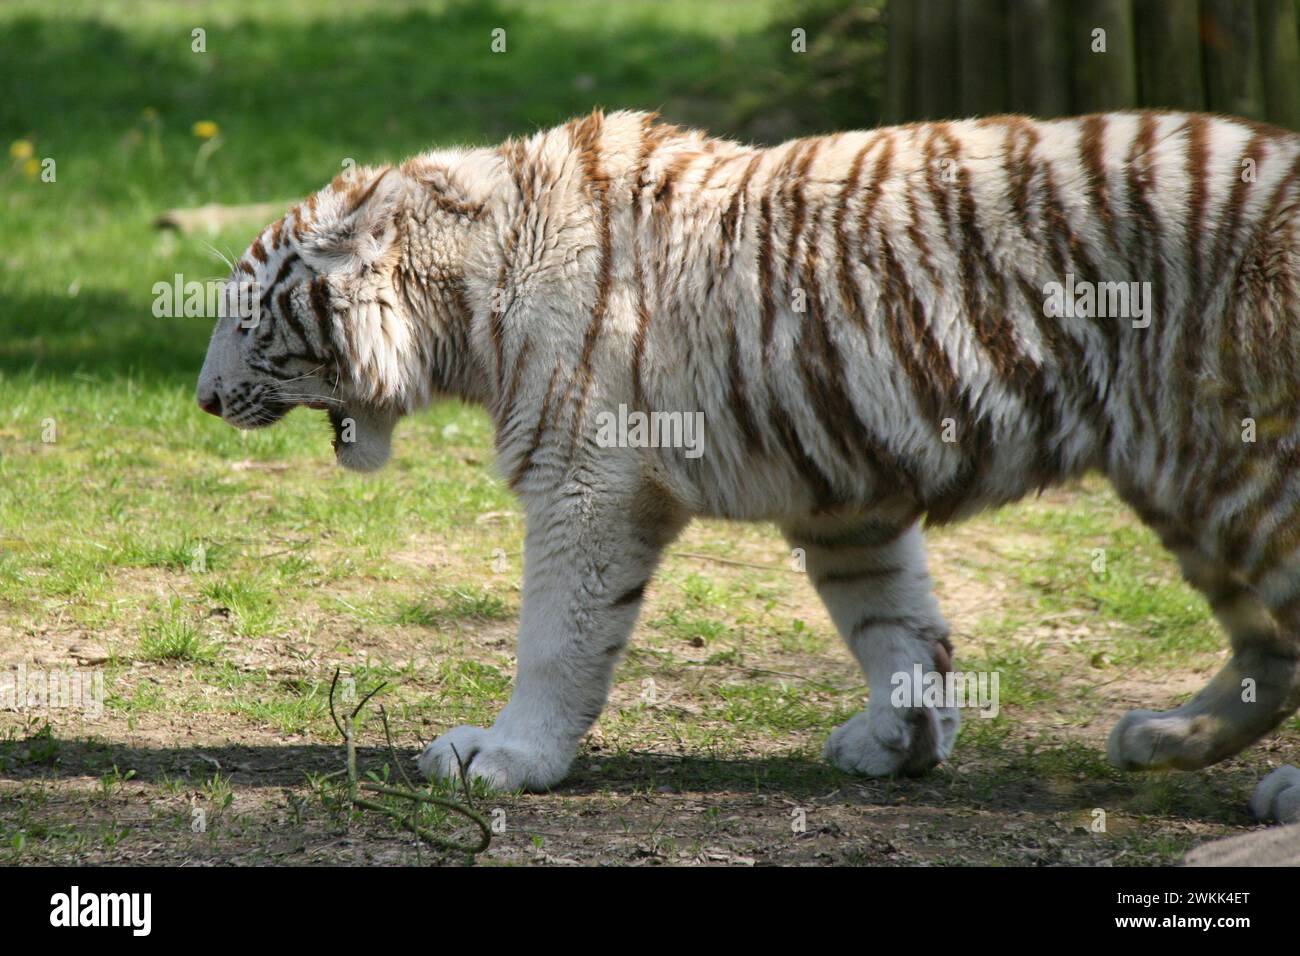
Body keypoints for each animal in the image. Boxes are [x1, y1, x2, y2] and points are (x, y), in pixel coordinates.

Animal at [196, 109, 1300, 819]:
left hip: (1245, 469)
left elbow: (555, 638)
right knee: (1267, 644)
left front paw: (508, 758)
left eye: (247, 315)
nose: (202, 400)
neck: (464, 301)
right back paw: (1161, 739)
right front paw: (900, 742)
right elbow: (895, 628)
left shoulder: (584, 483)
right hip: (1181, 480)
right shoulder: (847, 499)